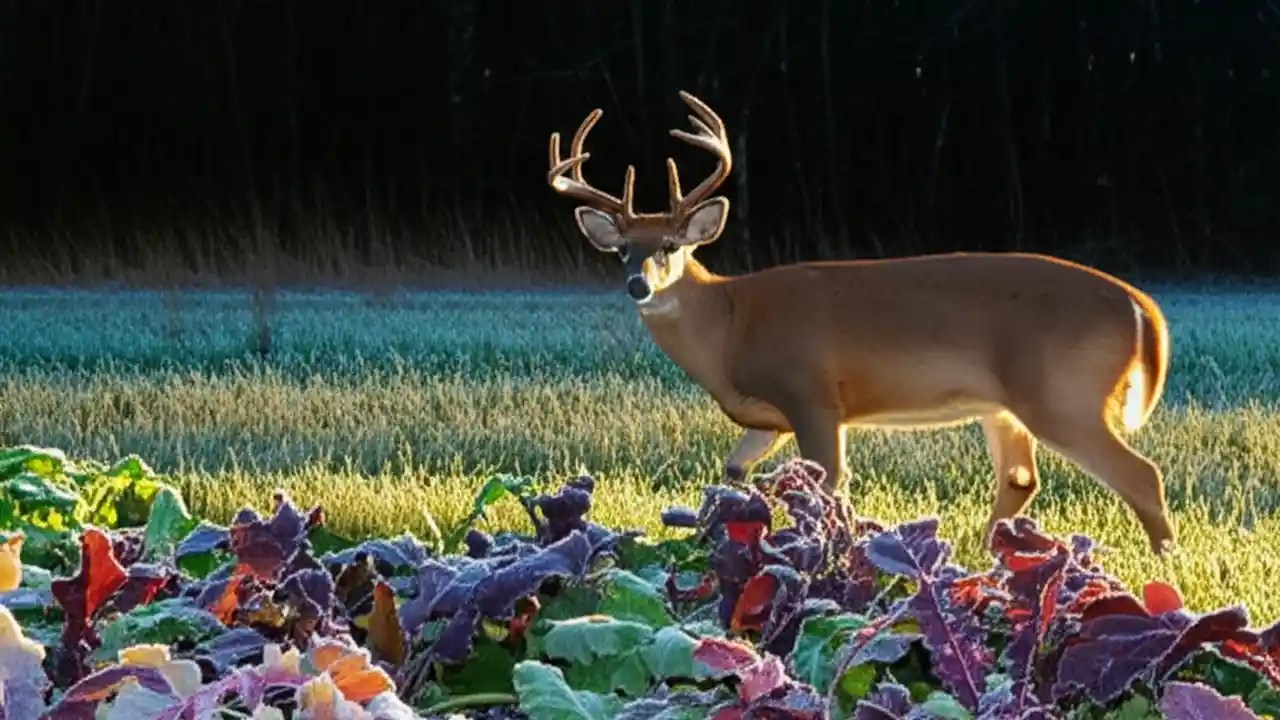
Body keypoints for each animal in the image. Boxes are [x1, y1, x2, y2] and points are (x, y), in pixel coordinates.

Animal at [545, 90, 1176, 555]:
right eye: (622, 250)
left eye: (671, 245)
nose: (639, 284)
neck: (730, 325)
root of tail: (1141, 306)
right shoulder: (768, 417)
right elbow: (731, 473)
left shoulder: (812, 393)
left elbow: (830, 481)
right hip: (1006, 405)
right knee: (1022, 479)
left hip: (1063, 392)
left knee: (1141, 474)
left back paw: (1161, 566)